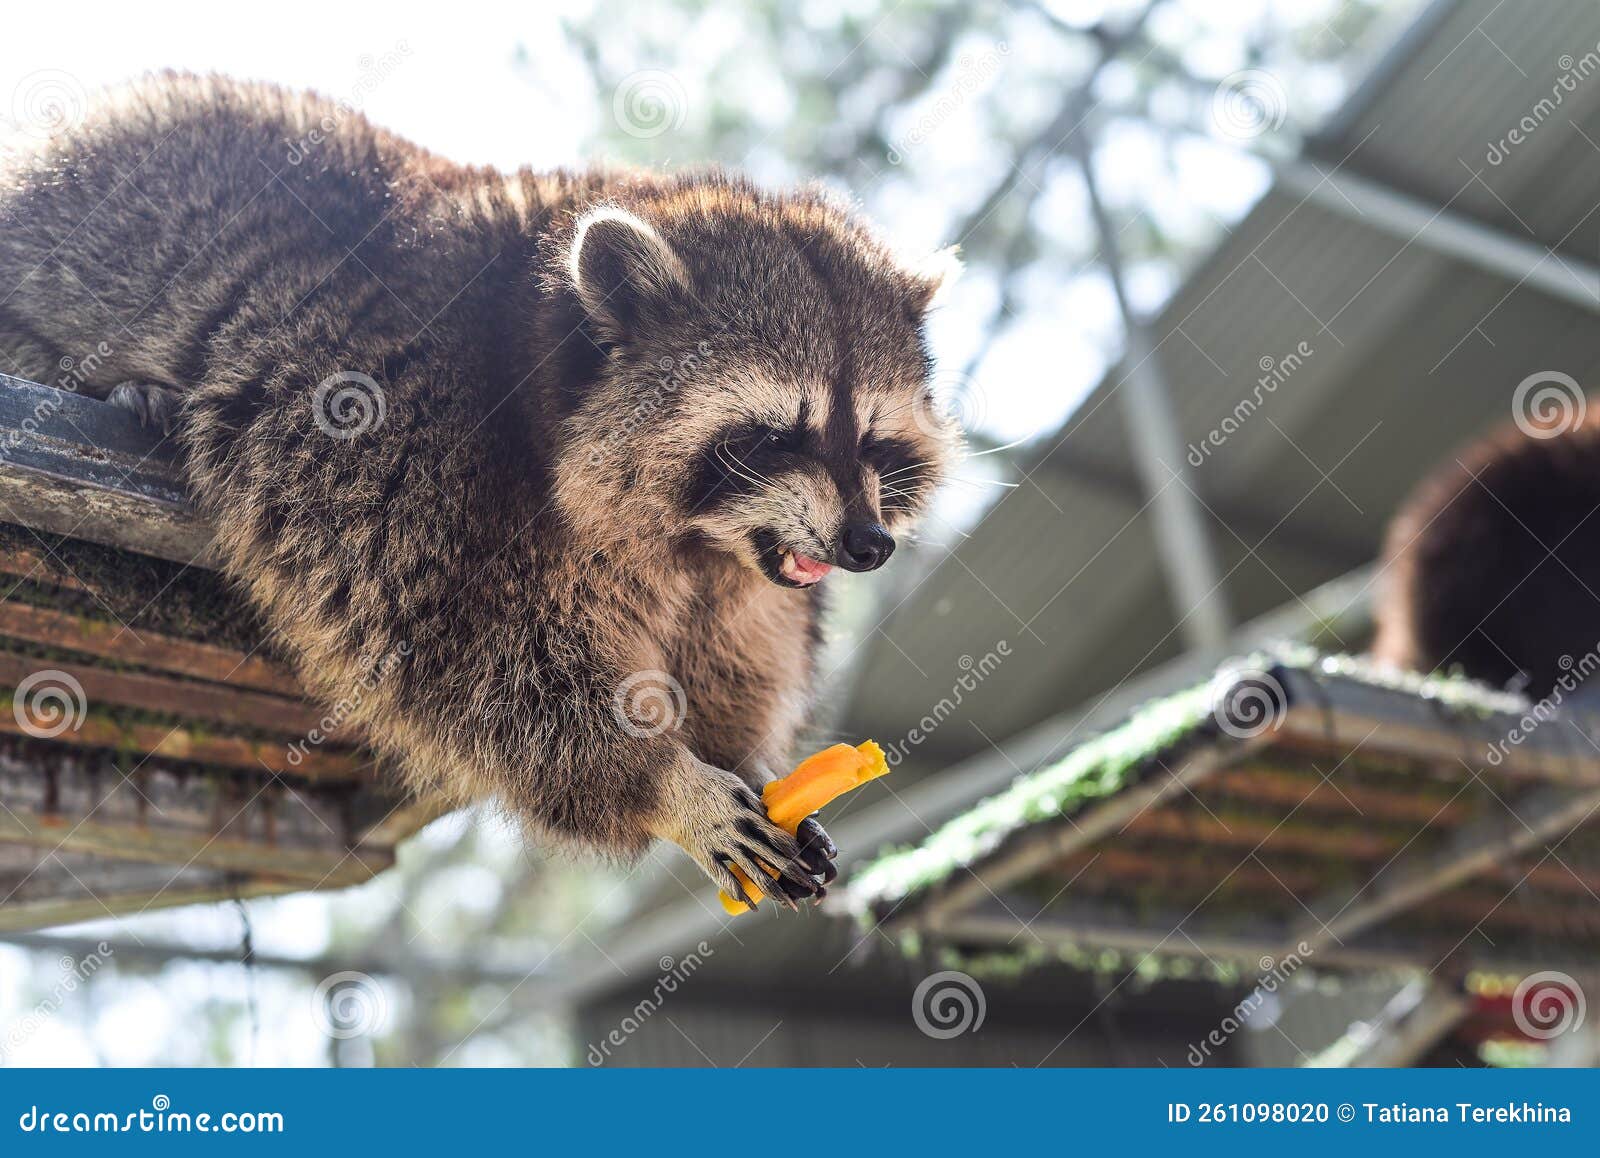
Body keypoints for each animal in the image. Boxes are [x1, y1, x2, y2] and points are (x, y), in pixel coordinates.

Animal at [0, 74, 958, 906]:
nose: (869, 546)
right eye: (774, 436)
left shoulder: (747, 577)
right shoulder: (400, 443)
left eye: (874, 442)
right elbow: (472, 661)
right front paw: (665, 783)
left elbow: (736, 654)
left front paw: (748, 759)